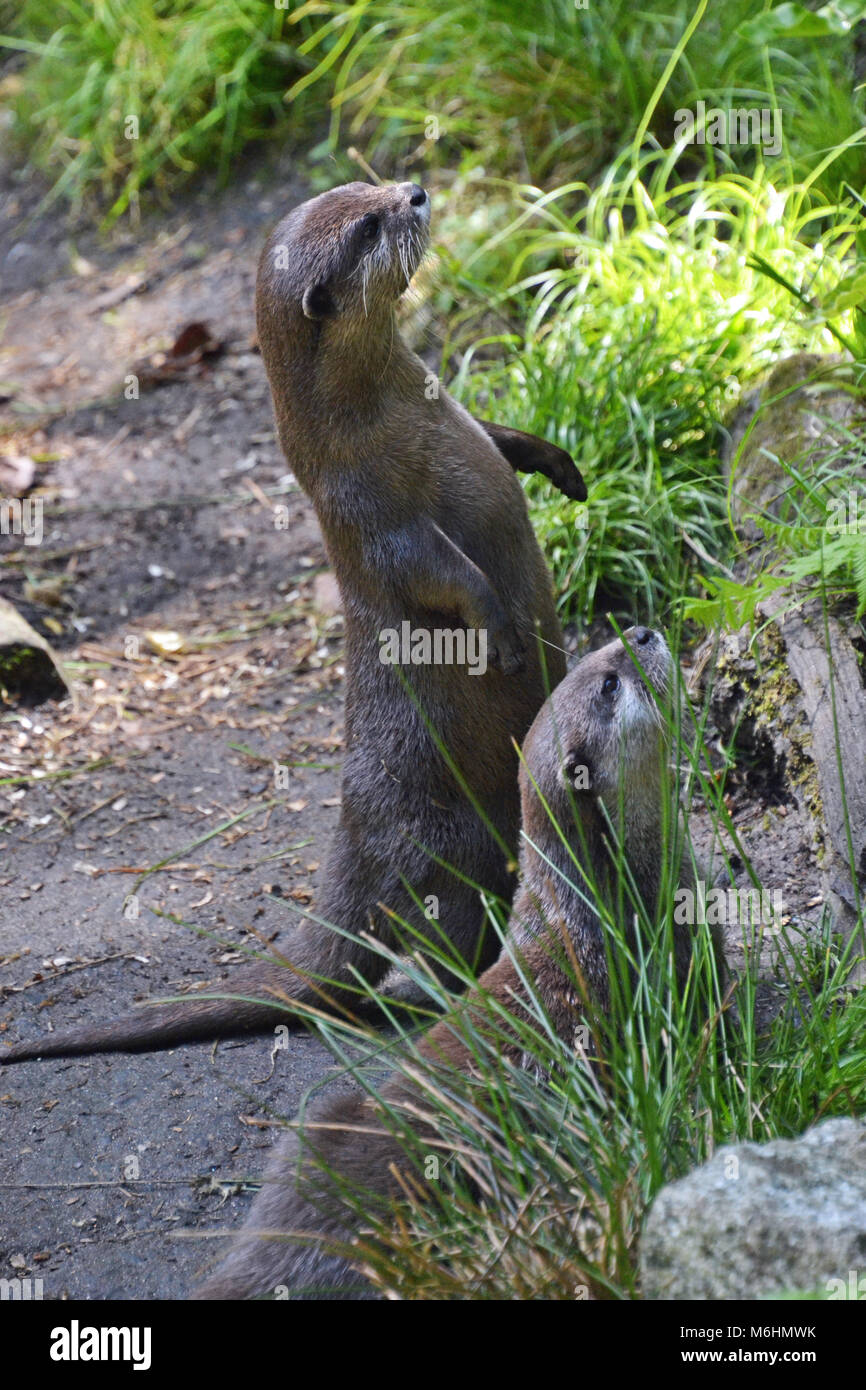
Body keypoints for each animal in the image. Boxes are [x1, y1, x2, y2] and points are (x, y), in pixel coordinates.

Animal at [1, 182, 580, 1065]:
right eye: (371, 225)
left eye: (375, 191)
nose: (415, 190)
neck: (399, 419)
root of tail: (357, 839)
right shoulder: (373, 514)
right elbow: (443, 578)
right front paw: (503, 634)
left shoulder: (461, 424)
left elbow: (505, 438)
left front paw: (561, 465)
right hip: (462, 843)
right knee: (439, 941)